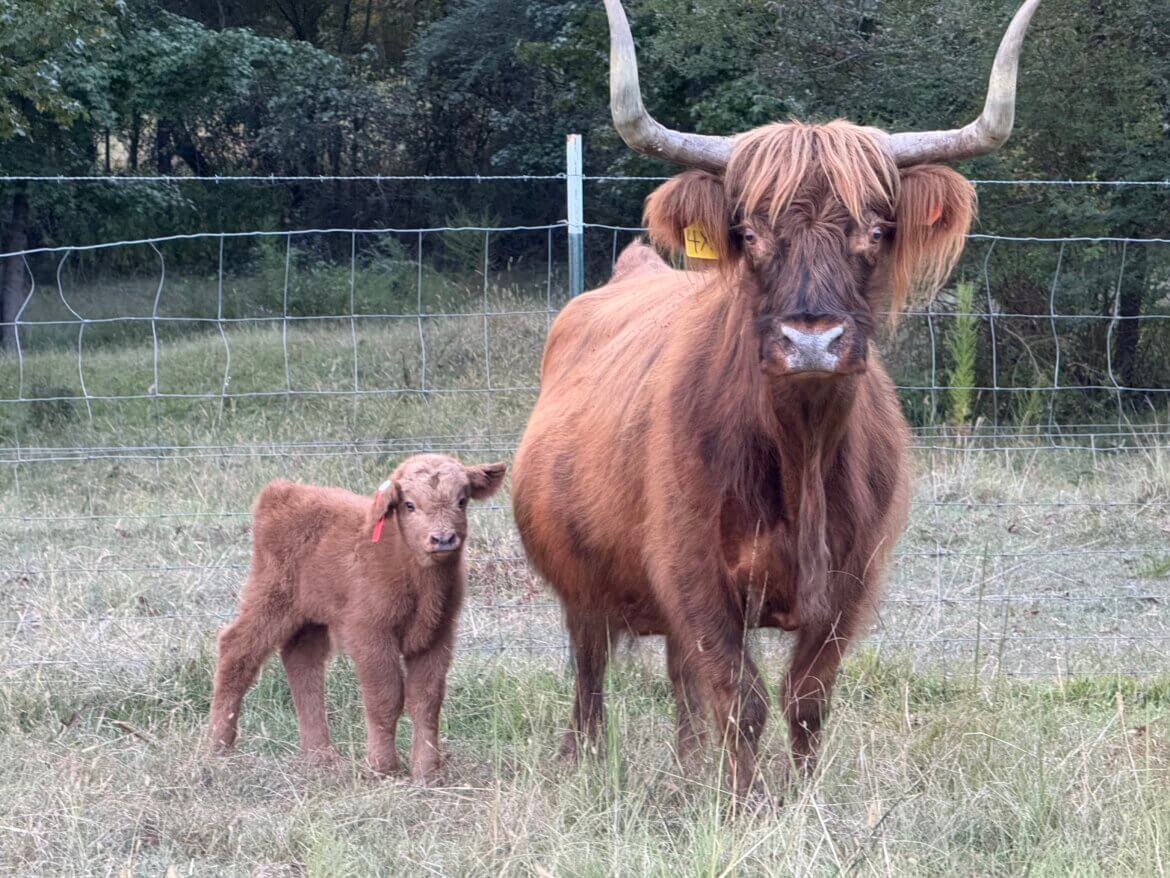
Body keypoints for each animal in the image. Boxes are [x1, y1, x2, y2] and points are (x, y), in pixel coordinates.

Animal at [511, 0, 1041, 798]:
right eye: (750, 233)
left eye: (877, 230)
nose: (811, 339)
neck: (802, 453)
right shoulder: (695, 573)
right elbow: (741, 699)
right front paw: (741, 804)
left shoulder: (848, 585)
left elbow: (805, 701)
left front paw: (795, 798)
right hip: (580, 577)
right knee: (590, 668)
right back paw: (587, 761)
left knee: (677, 681)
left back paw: (687, 768)